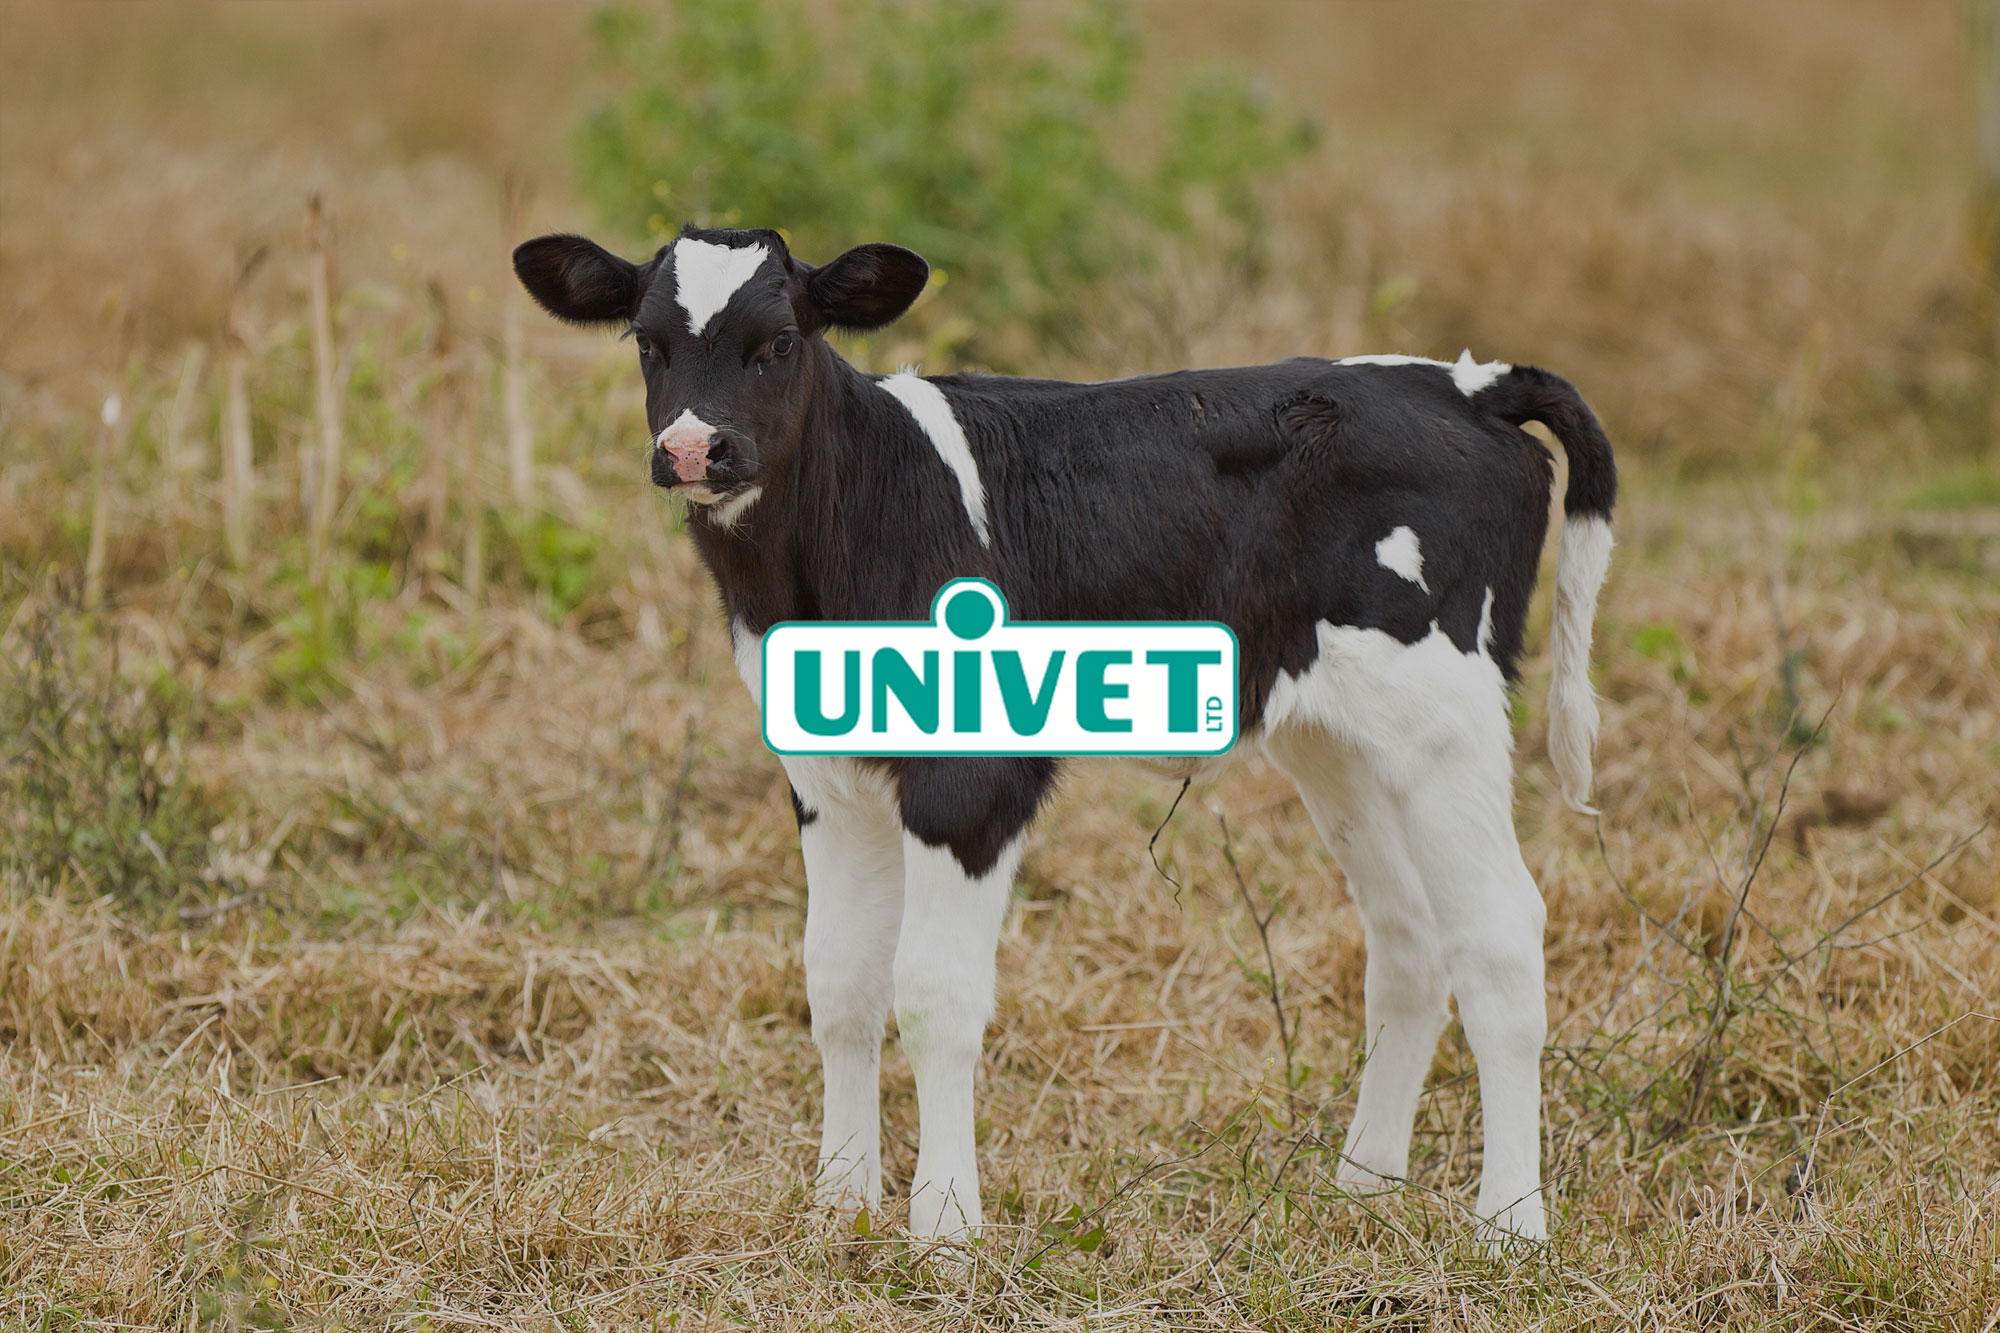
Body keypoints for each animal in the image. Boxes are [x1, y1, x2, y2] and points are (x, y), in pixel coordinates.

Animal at [513, 224, 1616, 1246]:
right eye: (647, 341)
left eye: (778, 341)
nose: (693, 450)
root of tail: (1463, 383)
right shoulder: (825, 774)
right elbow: (838, 984)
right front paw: (839, 1206)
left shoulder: (973, 778)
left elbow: (934, 992)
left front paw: (944, 1228)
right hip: (1339, 739)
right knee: (1409, 936)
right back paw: (1362, 1186)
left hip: (1446, 715)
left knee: (1499, 935)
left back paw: (1509, 1226)